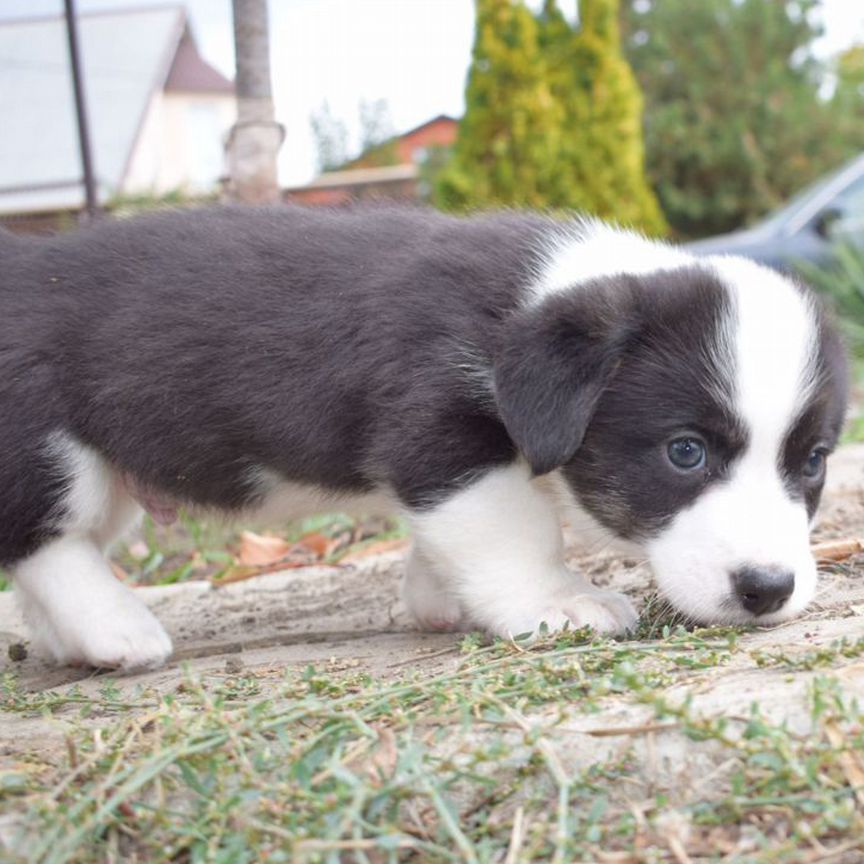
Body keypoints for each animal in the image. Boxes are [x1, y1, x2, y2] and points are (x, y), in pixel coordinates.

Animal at [0, 208, 852, 668]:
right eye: (685, 451)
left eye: (813, 462)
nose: (769, 590)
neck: (524, 308)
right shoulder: (443, 436)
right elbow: (516, 528)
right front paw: (557, 603)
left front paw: (438, 597)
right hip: (46, 445)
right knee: (42, 539)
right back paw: (115, 633)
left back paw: (62, 642)